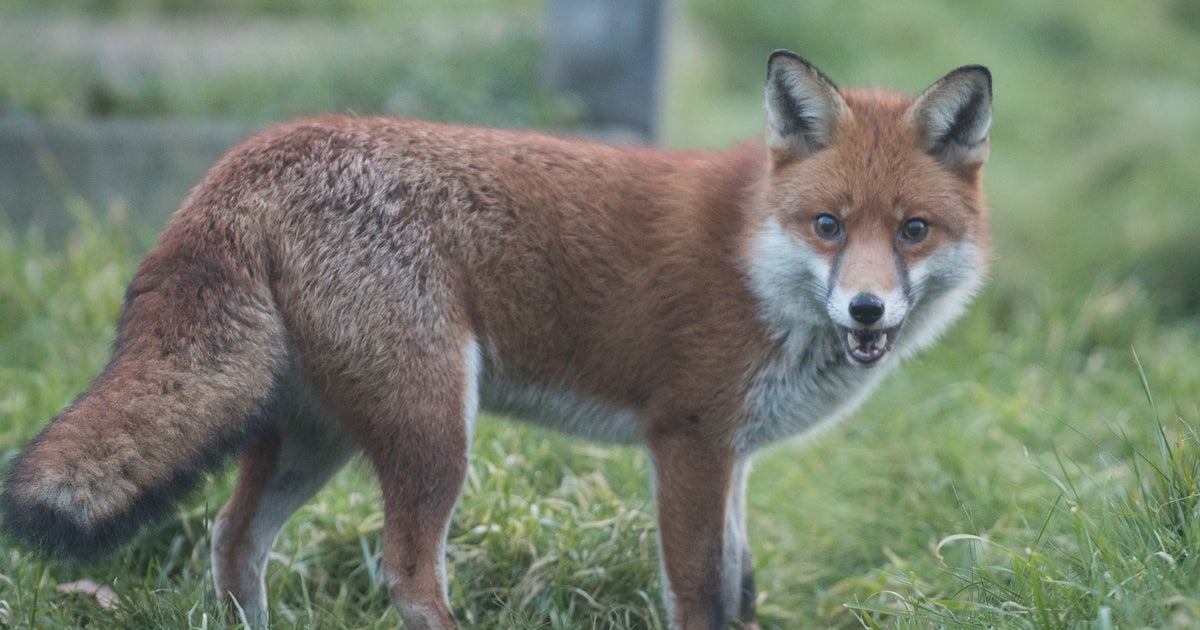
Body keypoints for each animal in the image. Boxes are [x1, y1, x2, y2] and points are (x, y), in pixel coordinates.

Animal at [0, 51, 991, 629]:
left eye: (912, 232)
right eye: (828, 226)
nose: (866, 310)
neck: (757, 261)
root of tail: (251, 156)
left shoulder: (735, 458)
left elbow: (741, 594)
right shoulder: (689, 441)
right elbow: (702, 598)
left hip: (317, 436)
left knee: (231, 541)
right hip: (437, 430)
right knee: (407, 575)